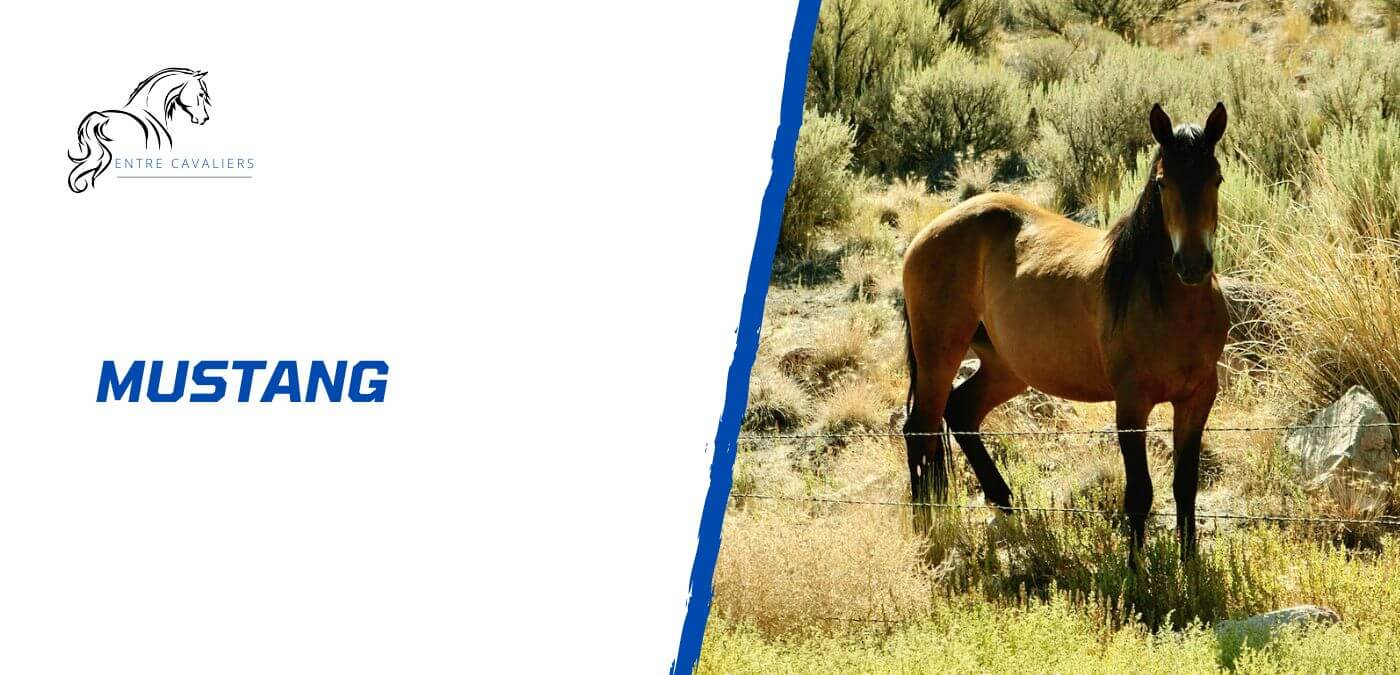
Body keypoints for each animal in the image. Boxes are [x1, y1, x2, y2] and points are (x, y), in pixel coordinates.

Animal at [901, 103, 1230, 565]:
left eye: (1216, 177)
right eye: (1163, 182)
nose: (1194, 264)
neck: (1173, 309)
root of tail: (925, 235)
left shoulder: (1198, 398)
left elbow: (1185, 487)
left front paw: (1190, 565)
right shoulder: (1131, 405)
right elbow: (1140, 494)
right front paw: (1135, 571)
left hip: (1007, 367)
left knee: (961, 411)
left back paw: (1004, 502)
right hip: (938, 355)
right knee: (920, 429)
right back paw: (928, 527)